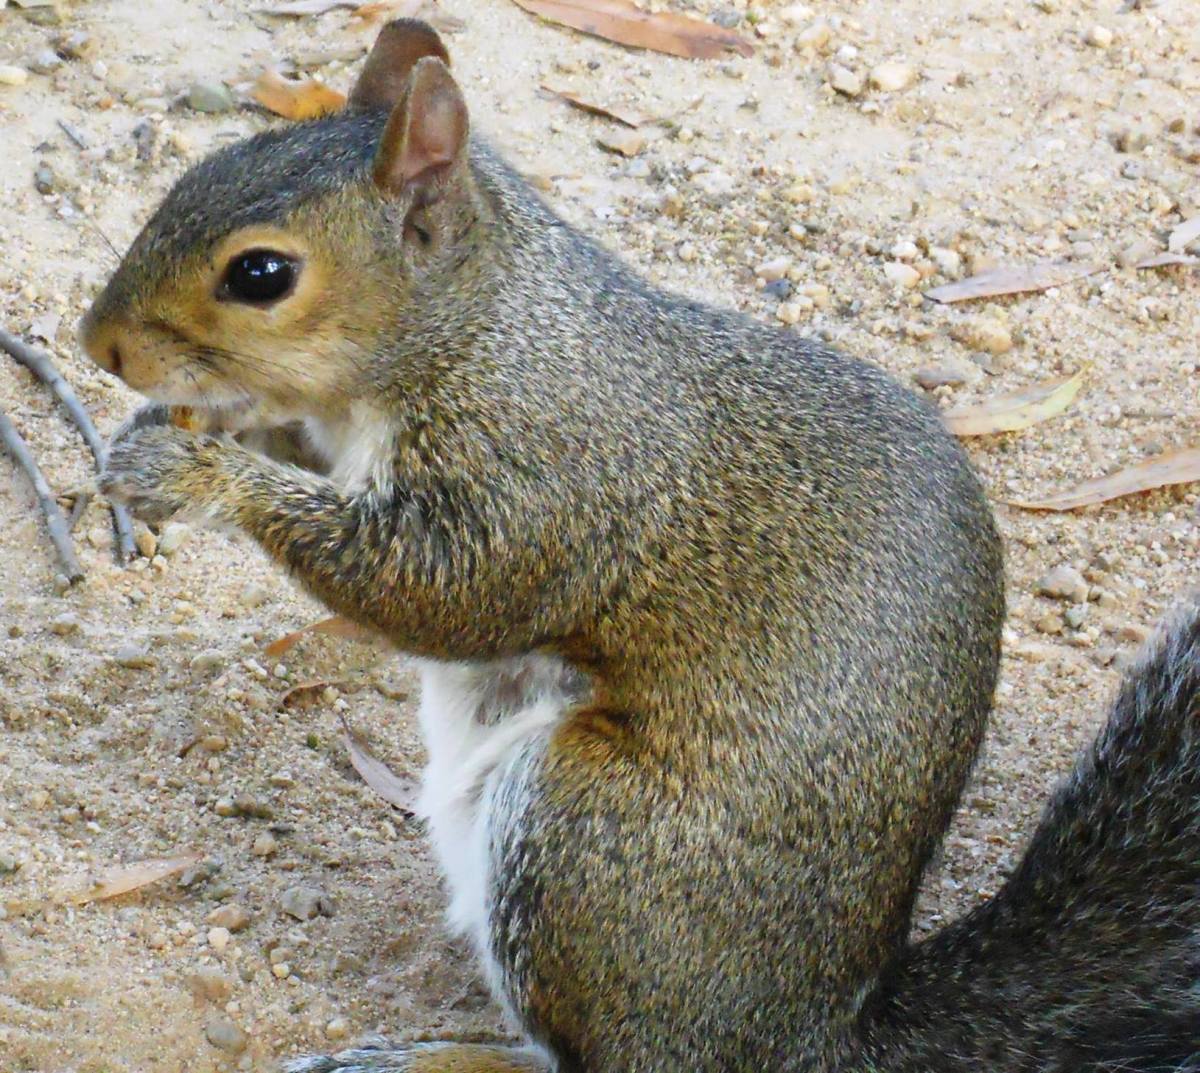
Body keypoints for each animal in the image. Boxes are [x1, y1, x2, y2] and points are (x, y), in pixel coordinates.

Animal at [80, 19, 1200, 1073]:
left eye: (261, 273)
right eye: (192, 175)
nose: (100, 345)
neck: (478, 327)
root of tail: (809, 1033)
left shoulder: (543, 475)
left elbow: (441, 592)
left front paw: (192, 471)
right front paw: (194, 429)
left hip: (584, 840)